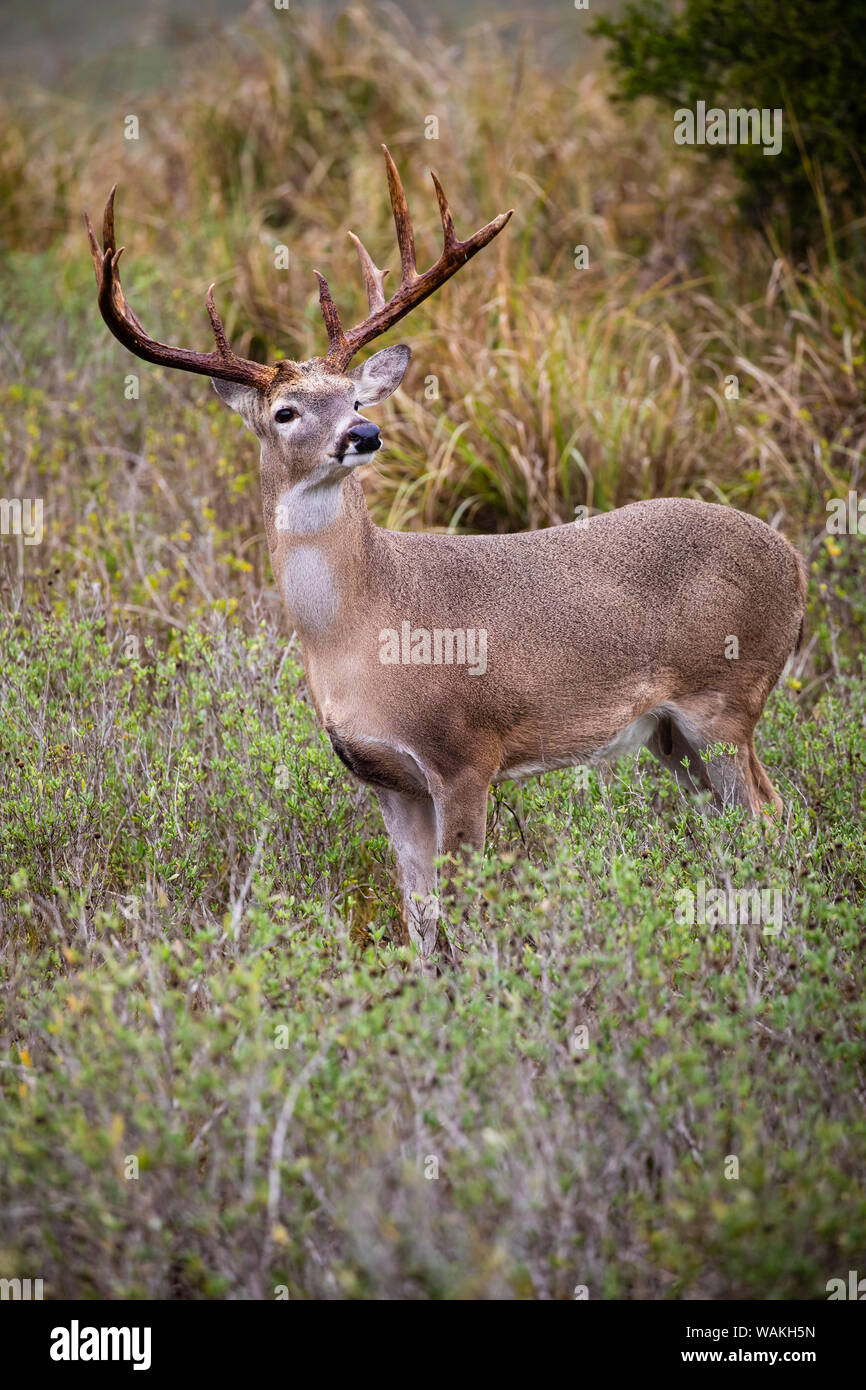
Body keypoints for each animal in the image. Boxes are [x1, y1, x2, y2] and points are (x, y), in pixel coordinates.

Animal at [85, 146, 806, 963]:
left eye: (354, 399)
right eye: (287, 411)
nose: (363, 435)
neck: (361, 626)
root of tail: (793, 560)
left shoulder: (466, 751)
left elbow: (466, 905)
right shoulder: (385, 777)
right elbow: (419, 914)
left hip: (726, 700)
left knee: (771, 815)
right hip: (670, 734)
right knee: (744, 824)